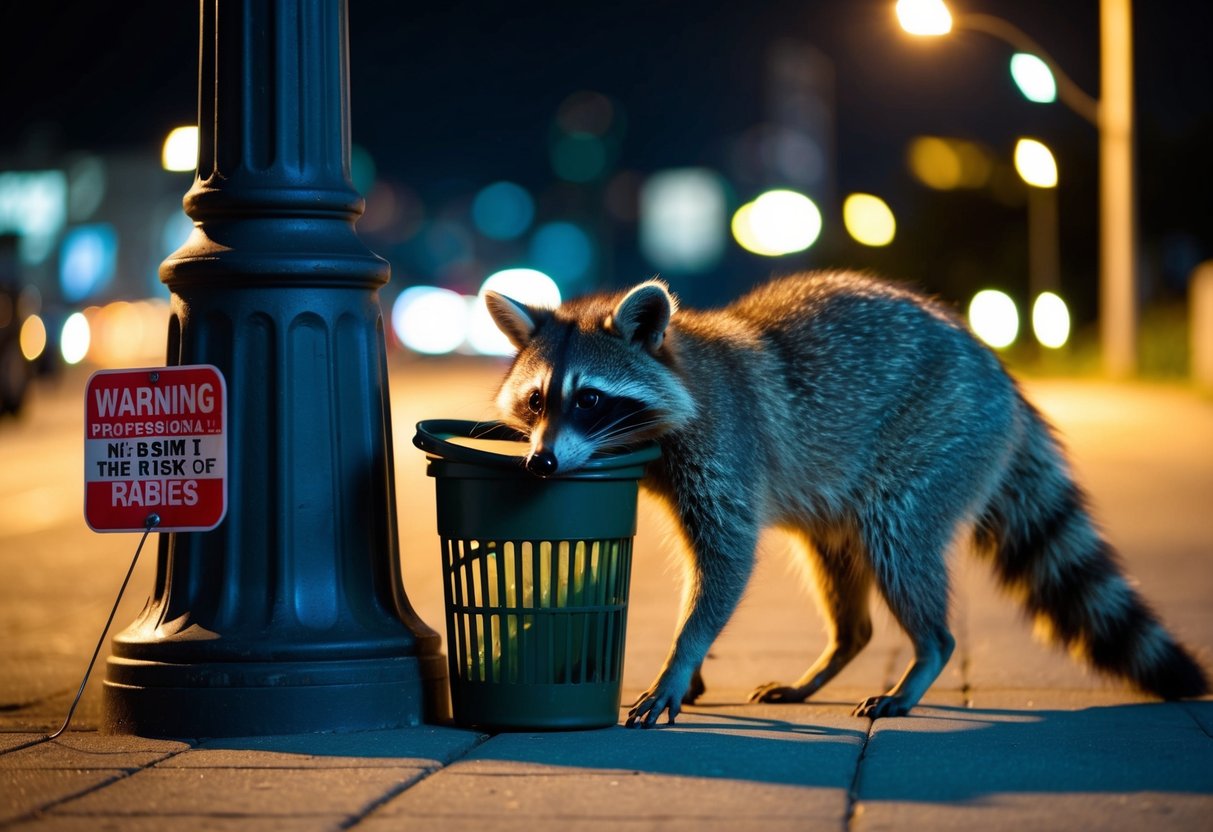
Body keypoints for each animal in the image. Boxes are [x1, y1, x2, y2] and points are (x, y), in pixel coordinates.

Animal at [485, 271, 1208, 726]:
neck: (678, 363)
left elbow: (726, 558)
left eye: (590, 398)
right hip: (837, 502)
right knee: (840, 572)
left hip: (939, 437)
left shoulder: (725, 446)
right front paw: (683, 665)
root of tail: (1000, 373)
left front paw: (679, 658)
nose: (541, 462)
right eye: (537, 400)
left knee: (900, 542)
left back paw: (927, 653)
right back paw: (838, 652)